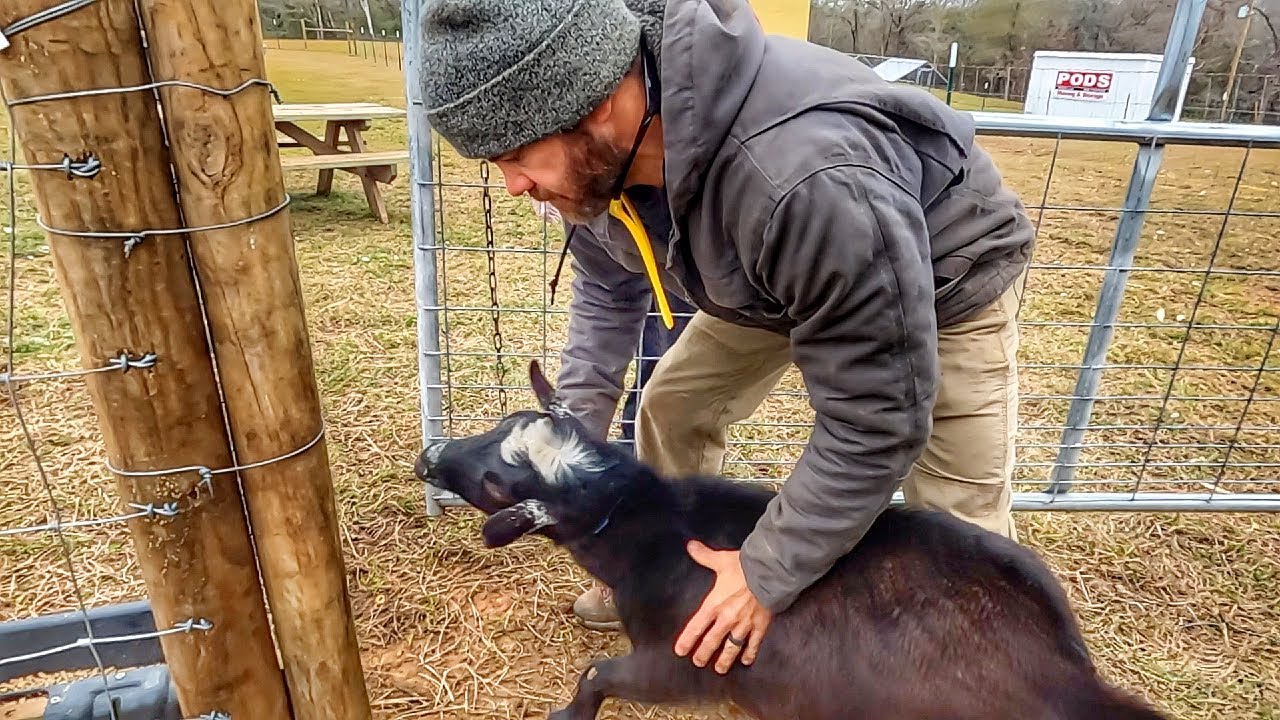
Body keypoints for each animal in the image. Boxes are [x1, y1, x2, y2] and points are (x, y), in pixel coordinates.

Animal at [413, 359, 1169, 720]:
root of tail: (1069, 680)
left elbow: (598, 674)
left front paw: (566, 715)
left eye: (495, 482)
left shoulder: (684, 662)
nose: (429, 457)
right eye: (500, 423)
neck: (651, 523)